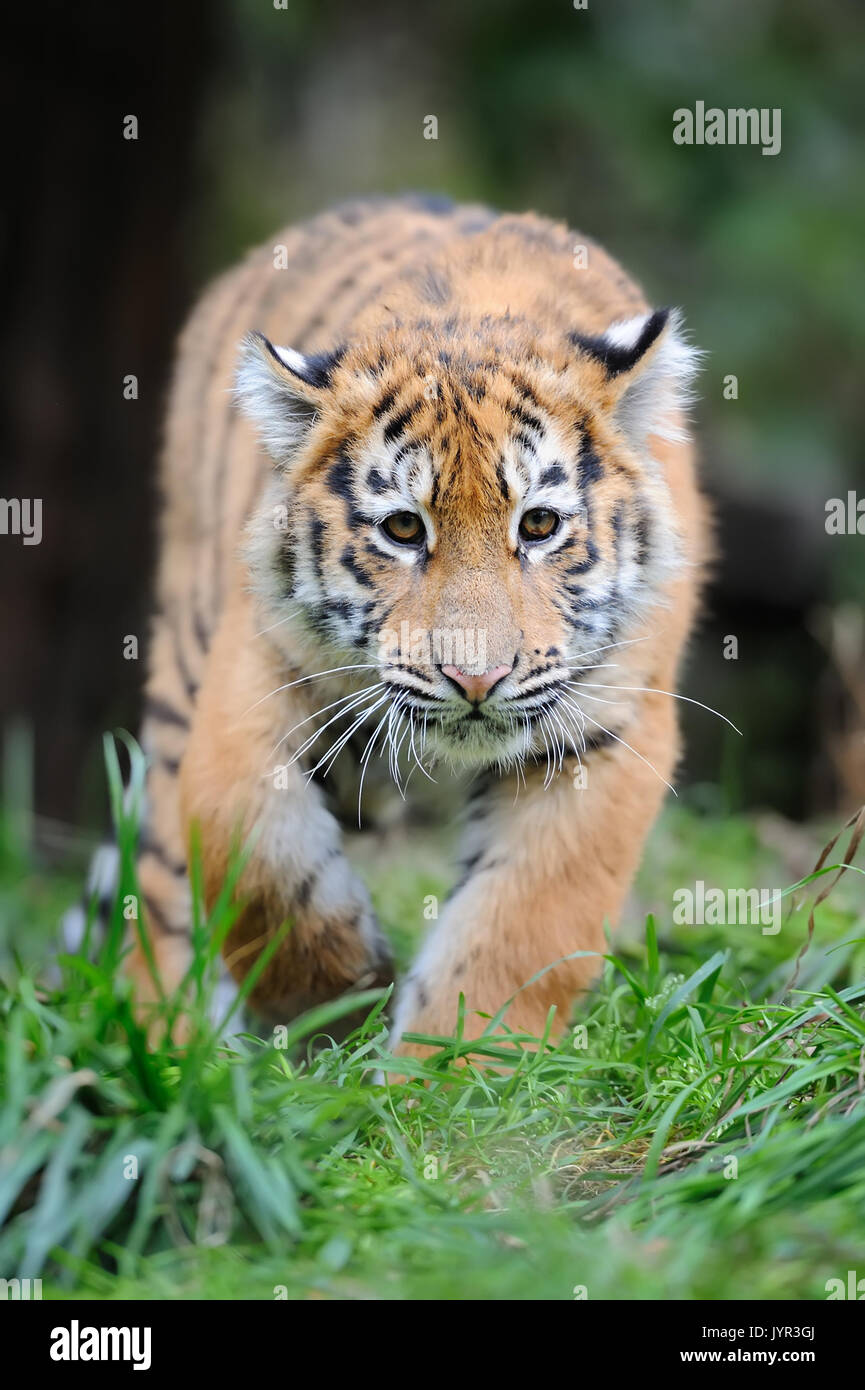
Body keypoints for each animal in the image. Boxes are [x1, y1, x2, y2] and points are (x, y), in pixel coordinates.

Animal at [126, 194, 707, 1061]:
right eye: (403, 529)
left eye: (538, 525)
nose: (476, 678)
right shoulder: (250, 680)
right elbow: (251, 846)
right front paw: (335, 995)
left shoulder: (605, 732)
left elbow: (519, 927)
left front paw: (455, 1069)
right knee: (160, 893)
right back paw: (165, 1050)